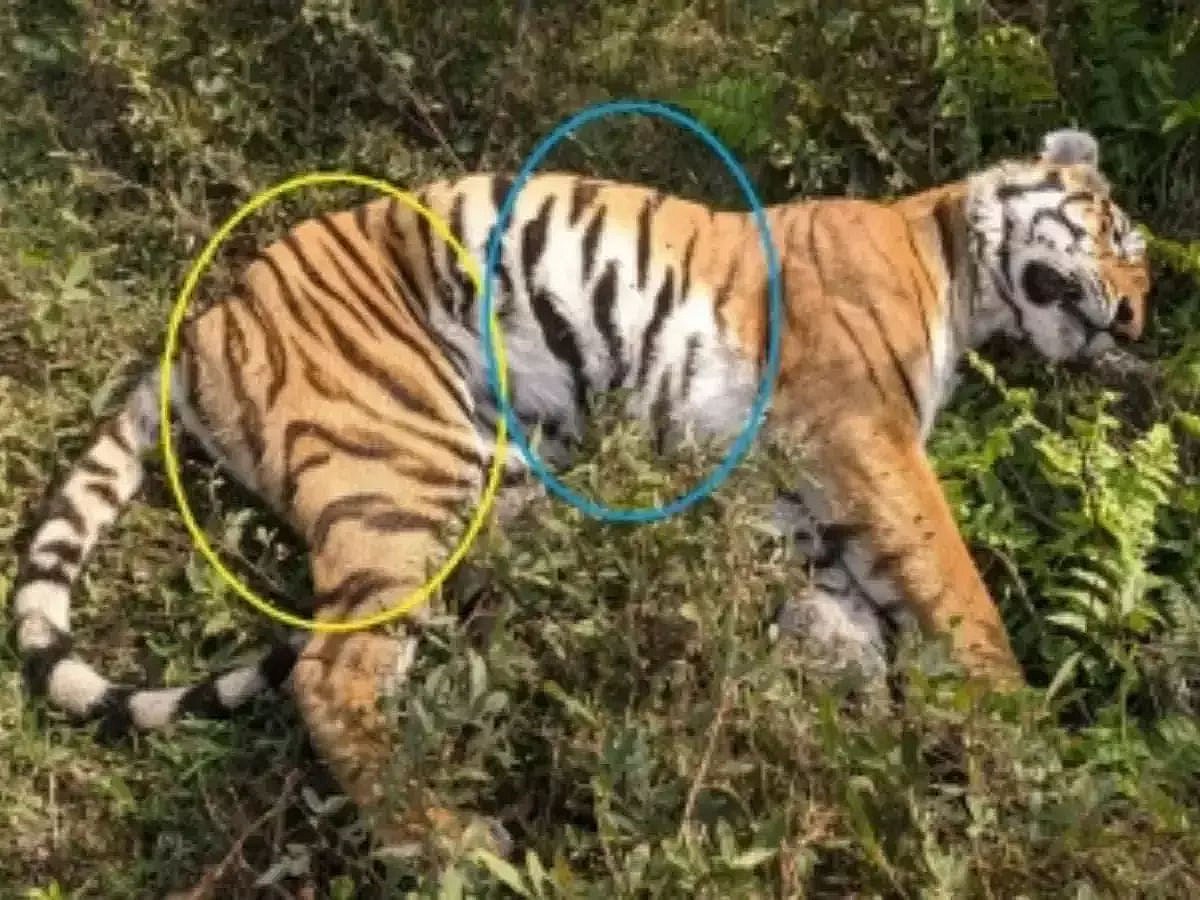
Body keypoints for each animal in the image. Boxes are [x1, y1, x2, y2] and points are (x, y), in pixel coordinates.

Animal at [11, 127, 1151, 855]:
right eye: (1115, 234)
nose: (1139, 320)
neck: (953, 259)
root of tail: (205, 321)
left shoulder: (796, 483)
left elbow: (849, 614)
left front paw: (877, 744)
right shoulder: (862, 436)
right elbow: (953, 586)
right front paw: (1027, 748)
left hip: (500, 488)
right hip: (404, 472)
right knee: (333, 679)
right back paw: (454, 845)